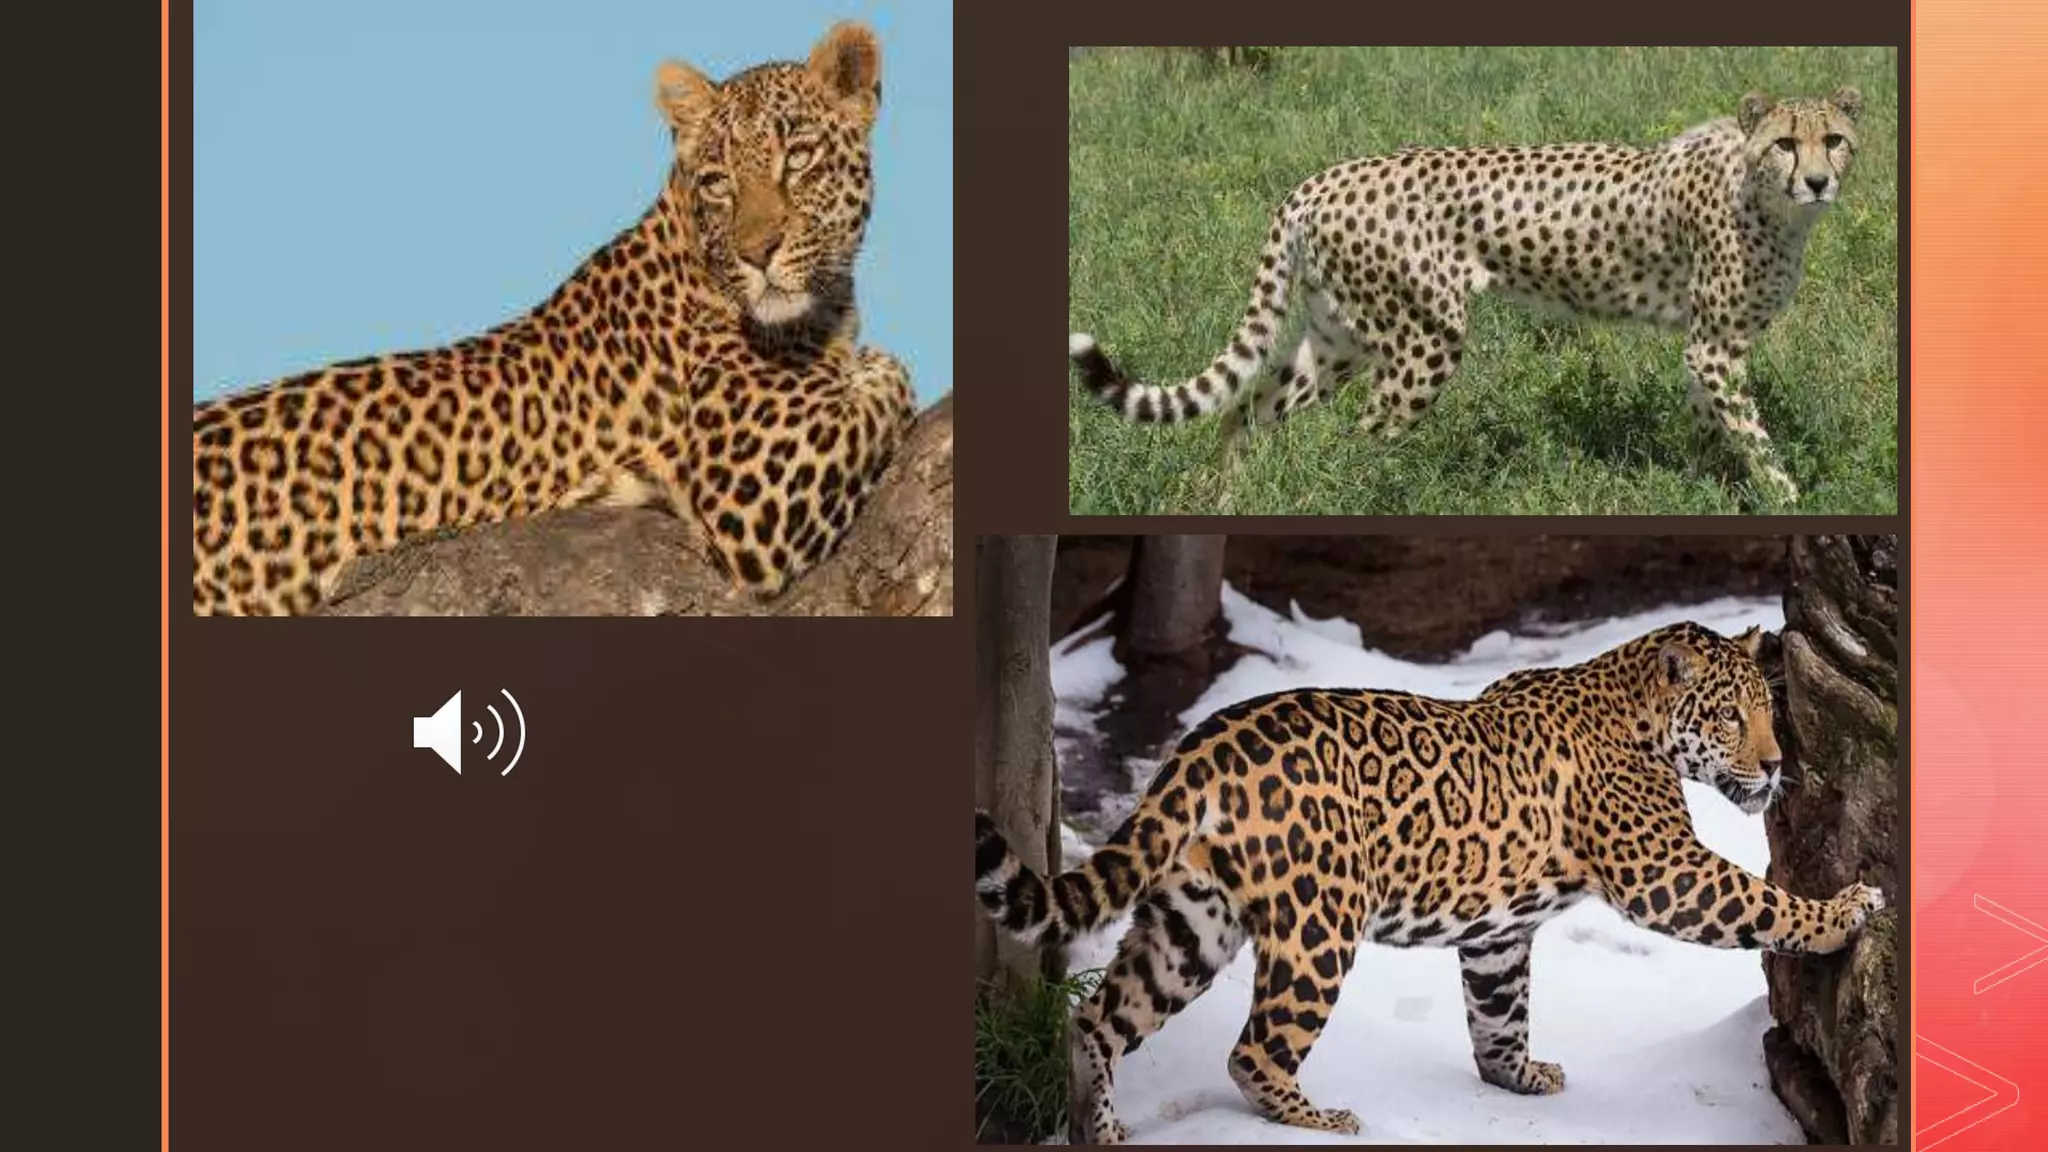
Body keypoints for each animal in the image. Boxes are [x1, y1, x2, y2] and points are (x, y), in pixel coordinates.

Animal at [191, 22, 917, 615]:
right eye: (718, 182)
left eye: (799, 158)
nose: (757, 253)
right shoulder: (757, 501)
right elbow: (892, 379)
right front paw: (866, 366)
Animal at [973, 621, 1887, 1144]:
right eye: (1731, 716)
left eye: (1768, 710)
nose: (1775, 765)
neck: (1639, 716)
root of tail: (1198, 750)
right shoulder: (1667, 871)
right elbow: (1762, 901)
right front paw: (1844, 911)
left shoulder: (1498, 933)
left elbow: (1500, 1013)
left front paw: (1516, 1078)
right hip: (1318, 927)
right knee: (1252, 1049)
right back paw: (1318, 1118)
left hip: (1192, 922)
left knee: (1098, 1019)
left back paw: (1097, 1127)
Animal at [1067, 88, 1870, 505]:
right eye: (1785, 144)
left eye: (1833, 139)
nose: (1818, 181)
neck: (1765, 199)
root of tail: (1319, 178)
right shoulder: (1715, 349)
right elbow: (1754, 438)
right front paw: (1789, 498)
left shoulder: (1705, 350)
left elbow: (1713, 427)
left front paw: (1708, 489)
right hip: (1425, 340)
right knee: (1360, 441)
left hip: (1339, 339)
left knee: (1247, 407)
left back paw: (1229, 497)